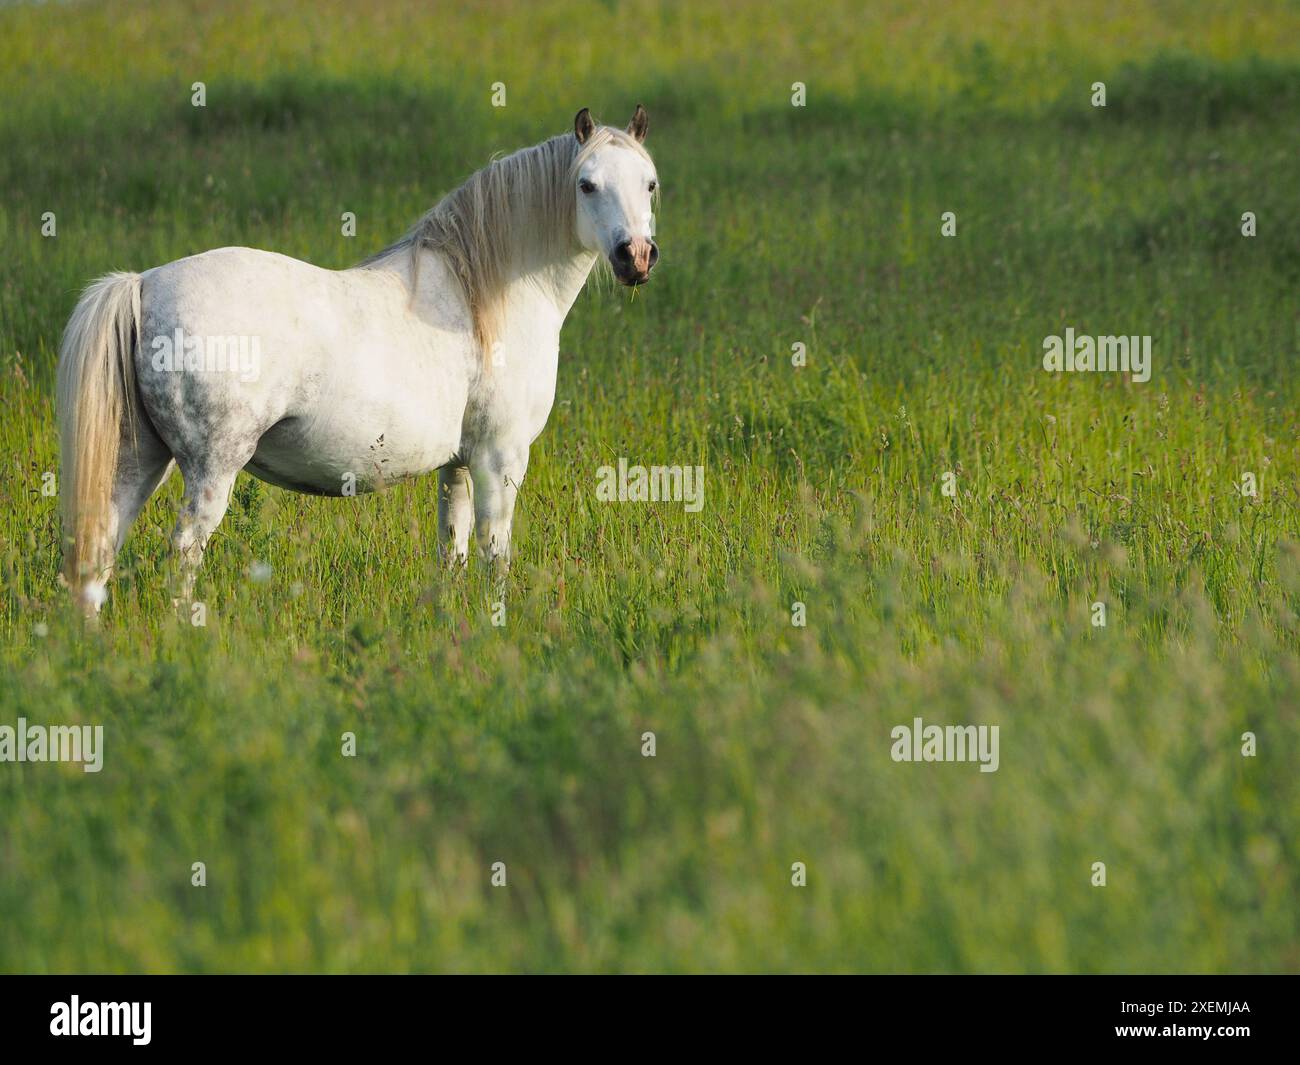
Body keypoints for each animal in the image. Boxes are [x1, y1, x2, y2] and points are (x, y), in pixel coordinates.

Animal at [56, 105, 659, 613]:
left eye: (649, 183)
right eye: (586, 184)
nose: (636, 257)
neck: (485, 295)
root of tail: (143, 284)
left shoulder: (459, 465)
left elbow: (454, 550)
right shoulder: (499, 458)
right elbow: (496, 556)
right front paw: (497, 625)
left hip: (139, 461)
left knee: (99, 551)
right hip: (210, 469)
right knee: (182, 555)